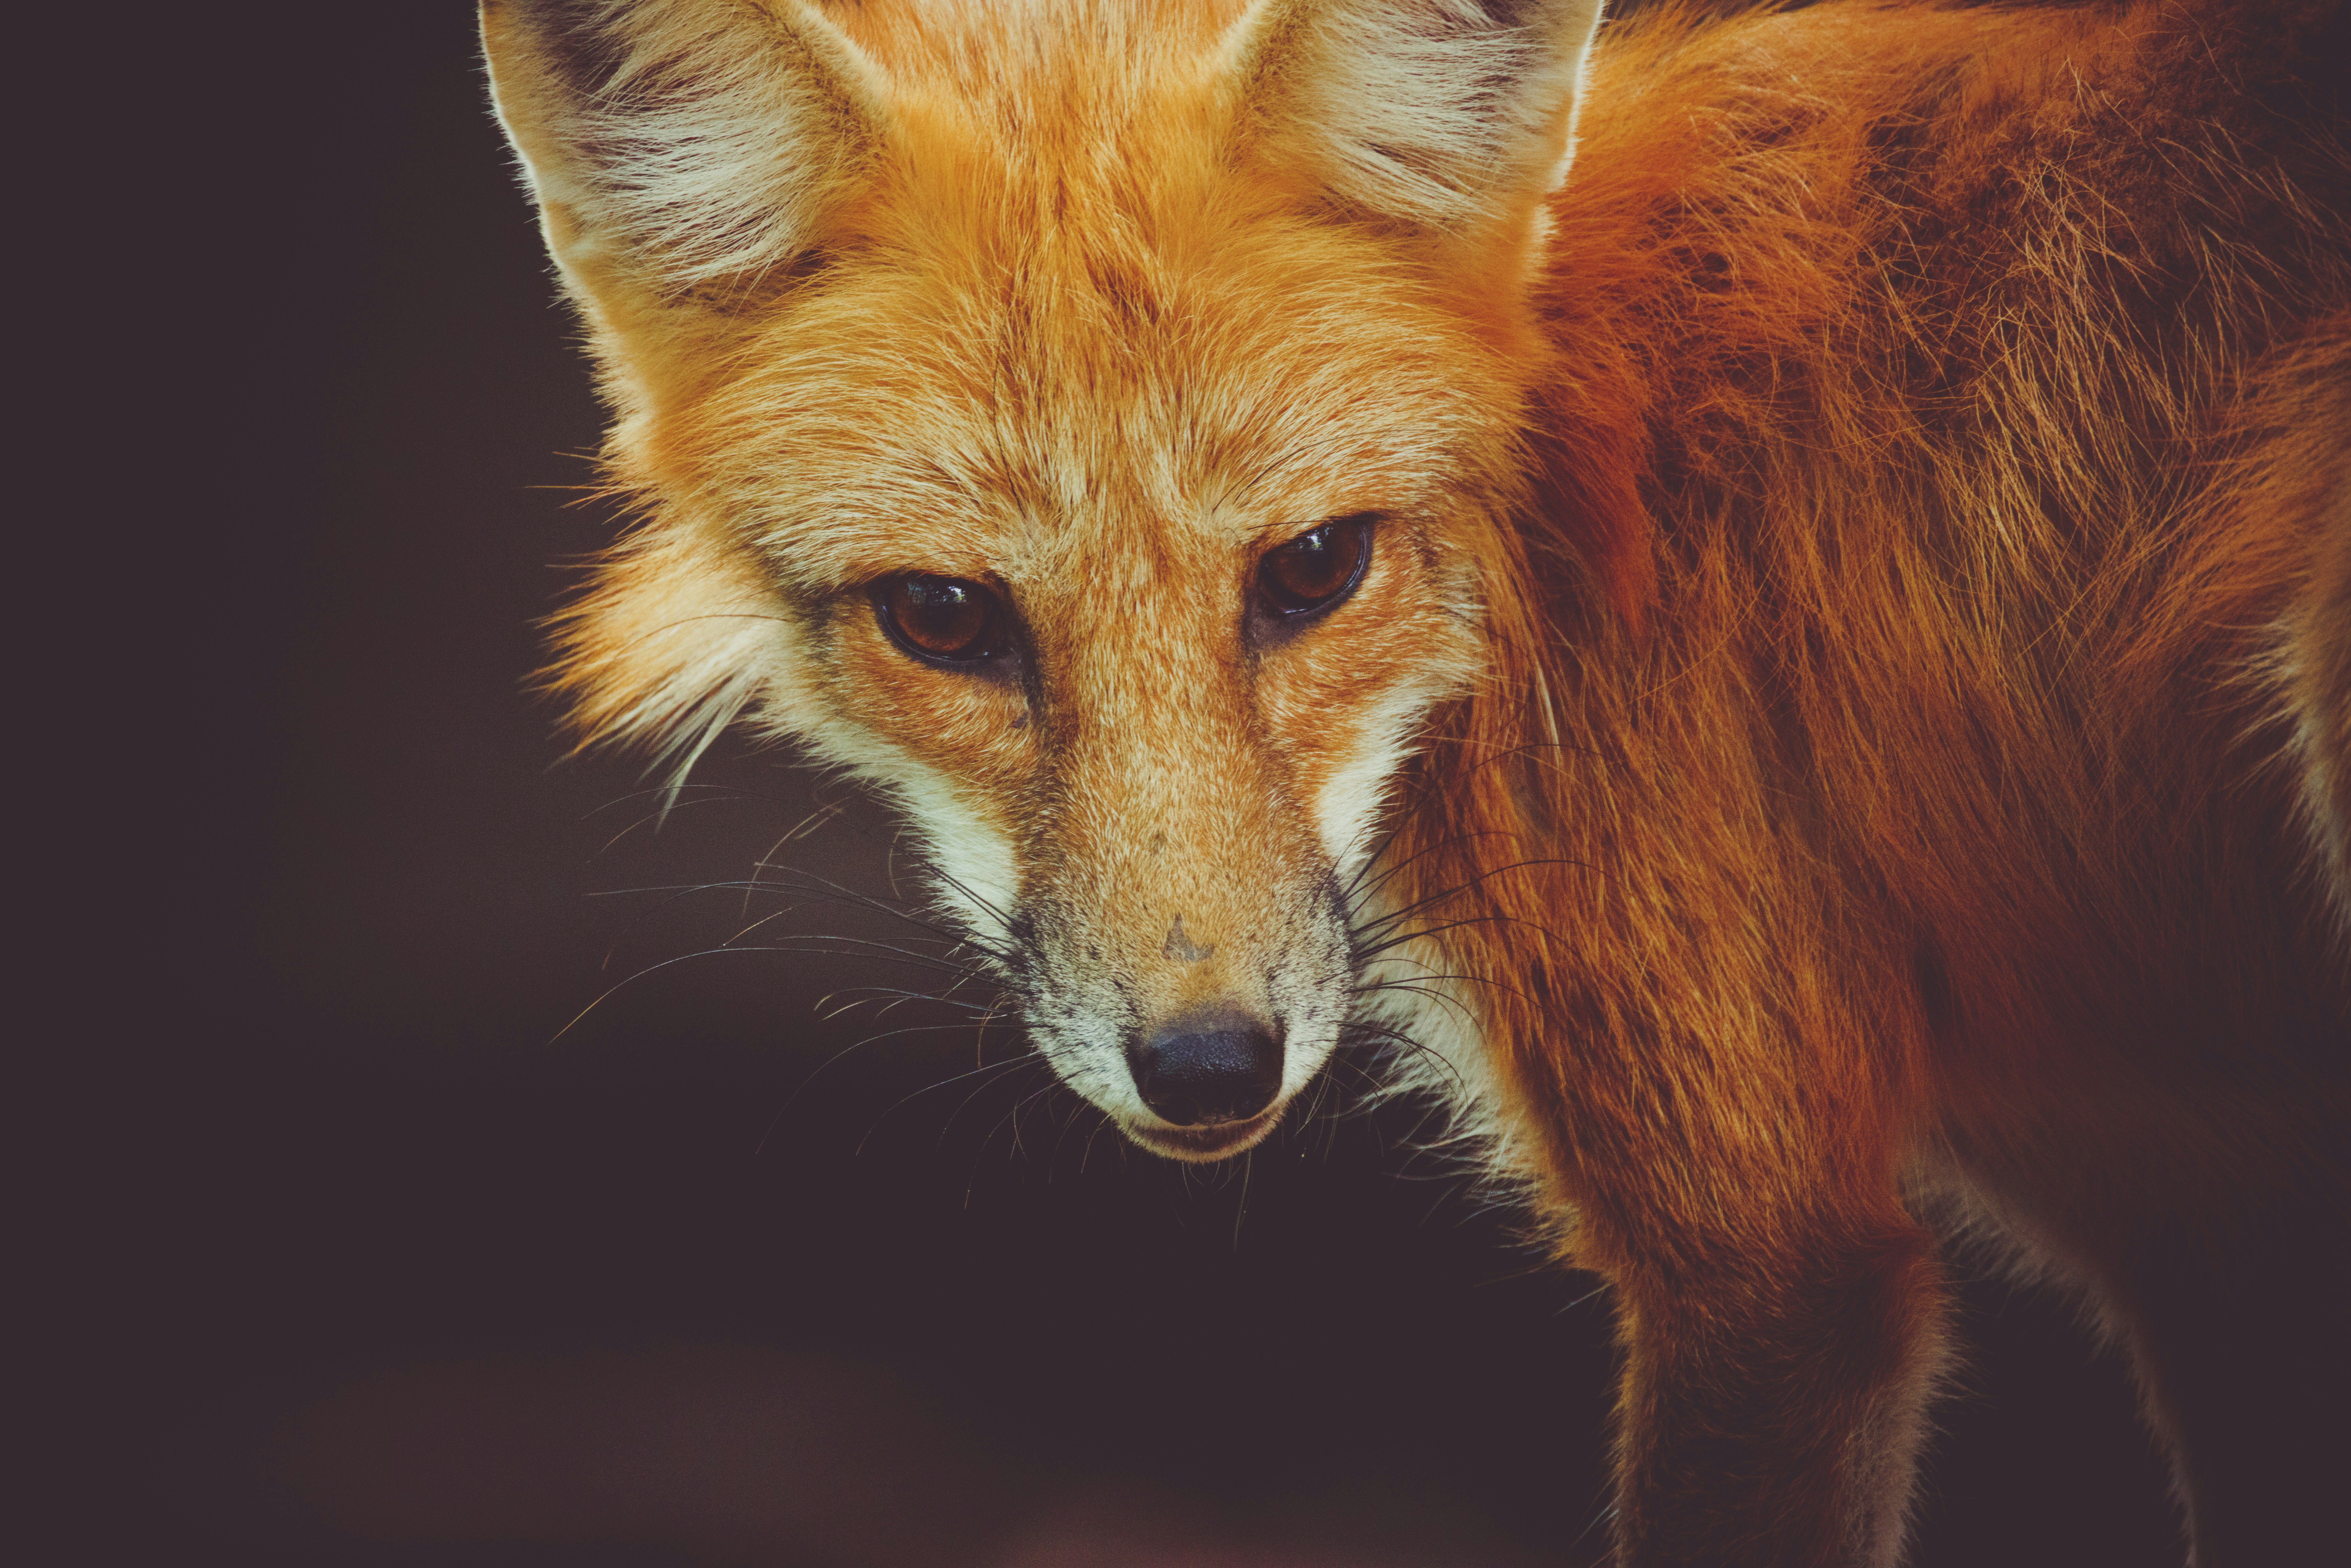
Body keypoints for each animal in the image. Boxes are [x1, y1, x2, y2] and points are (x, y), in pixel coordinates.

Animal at [481, 1, 2349, 1563]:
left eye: (1316, 568)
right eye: (943, 617)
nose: (1210, 1066)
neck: (1567, 516)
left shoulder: (1774, 1259)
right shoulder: (2204, 1197)